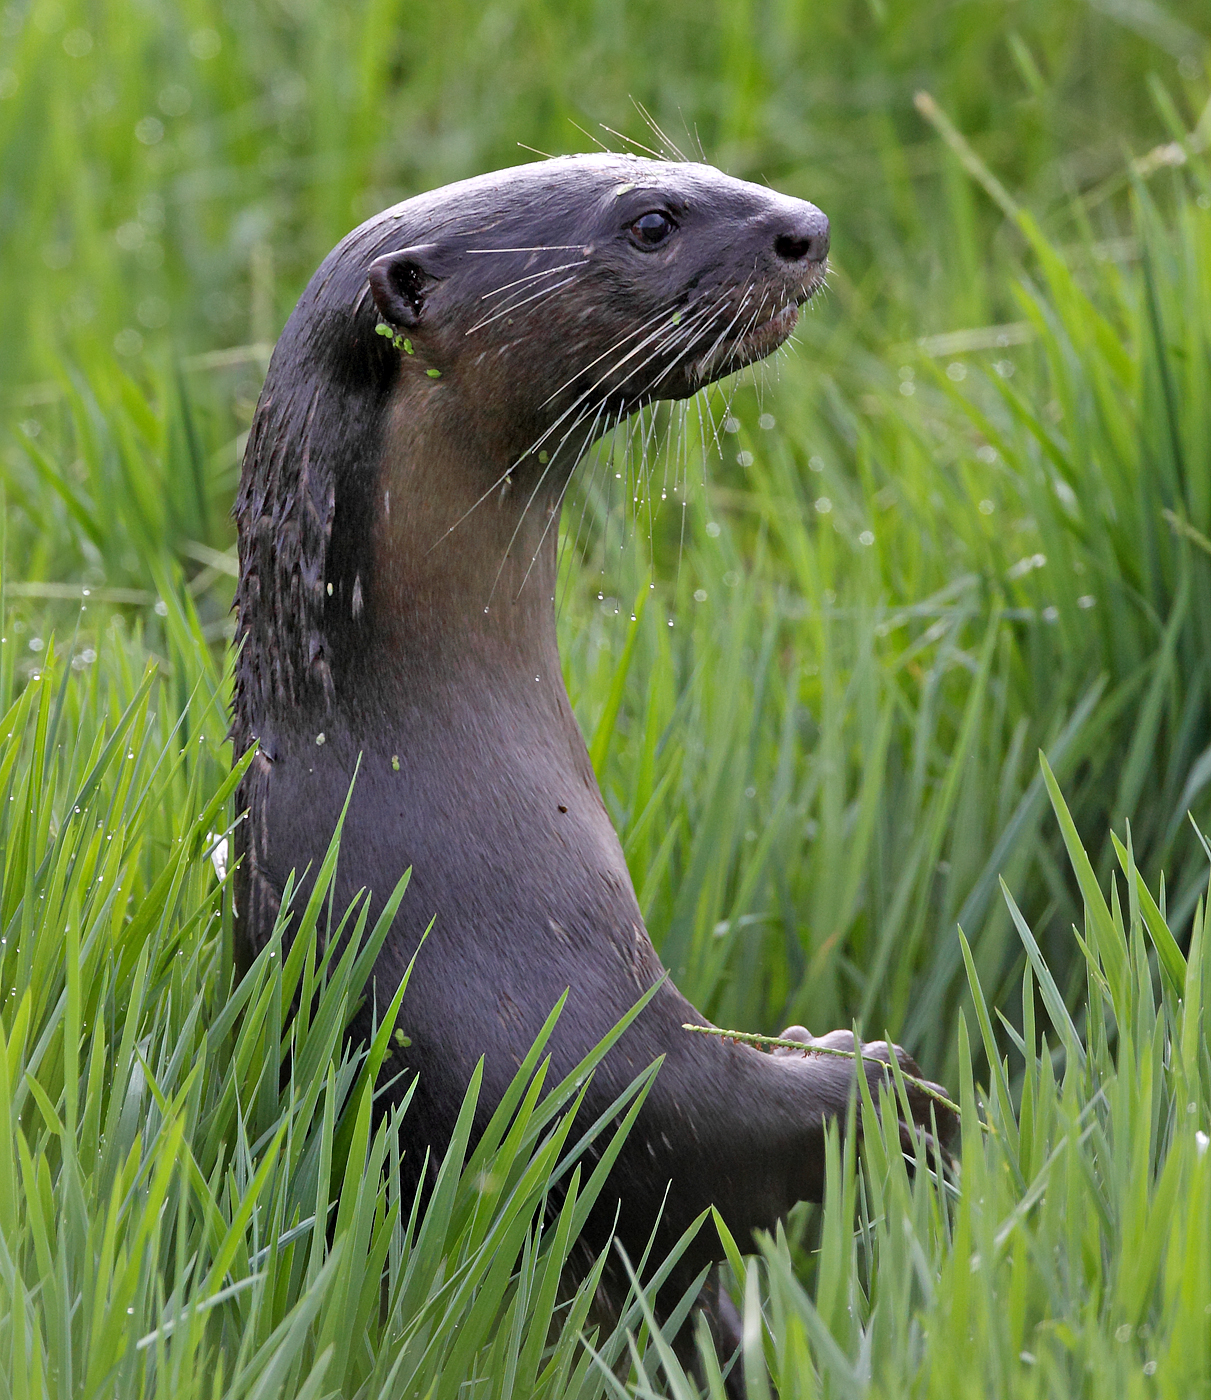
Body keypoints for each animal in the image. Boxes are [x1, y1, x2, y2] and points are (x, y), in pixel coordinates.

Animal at [232, 154, 952, 1388]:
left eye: (688, 167)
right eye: (650, 223)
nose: (803, 229)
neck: (415, 780)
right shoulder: (556, 1035)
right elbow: (705, 1145)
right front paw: (876, 1079)